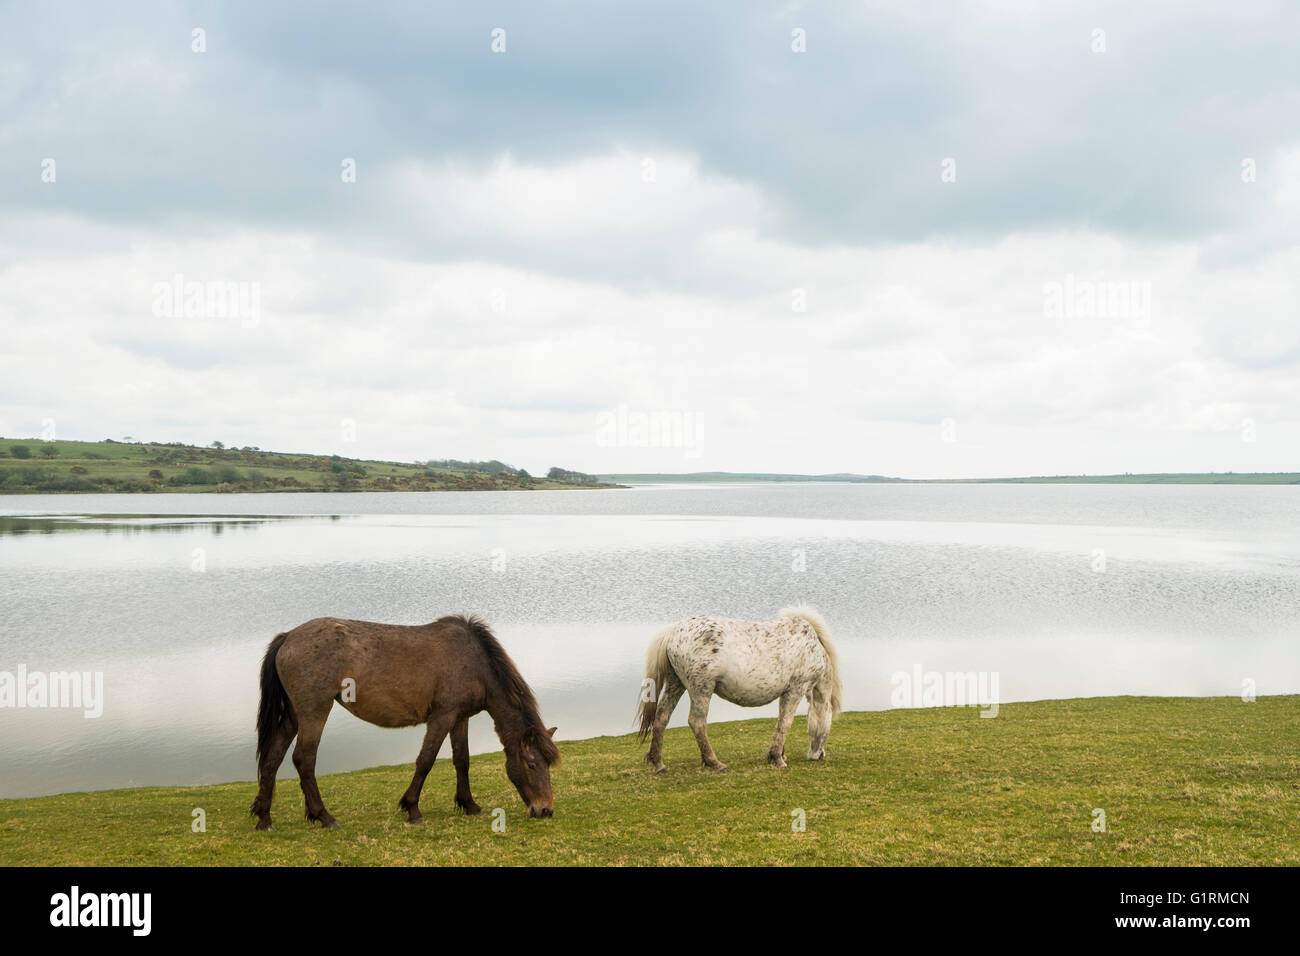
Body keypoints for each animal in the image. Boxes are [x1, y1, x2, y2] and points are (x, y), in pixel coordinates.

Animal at [249, 613, 559, 830]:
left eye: (548, 764)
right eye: (531, 764)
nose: (545, 810)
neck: (474, 662)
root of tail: (288, 637)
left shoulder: (460, 718)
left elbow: (462, 760)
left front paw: (468, 804)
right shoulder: (442, 716)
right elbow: (426, 760)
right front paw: (412, 809)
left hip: (294, 714)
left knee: (273, 758)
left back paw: (264, 818)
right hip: (314, 711)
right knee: (304, 759)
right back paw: (324, 816)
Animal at [637, 606, 842, 772]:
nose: (819, 755)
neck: (811, 646)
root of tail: (673, 631)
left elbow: (781, 720)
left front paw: (779, 754)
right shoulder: (795, 690)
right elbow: (785, 722)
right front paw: (778, 758)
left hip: (675, 684)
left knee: (661, 718)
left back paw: (659, 764)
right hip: (701, 689)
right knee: (697, 722)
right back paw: (715, 763)